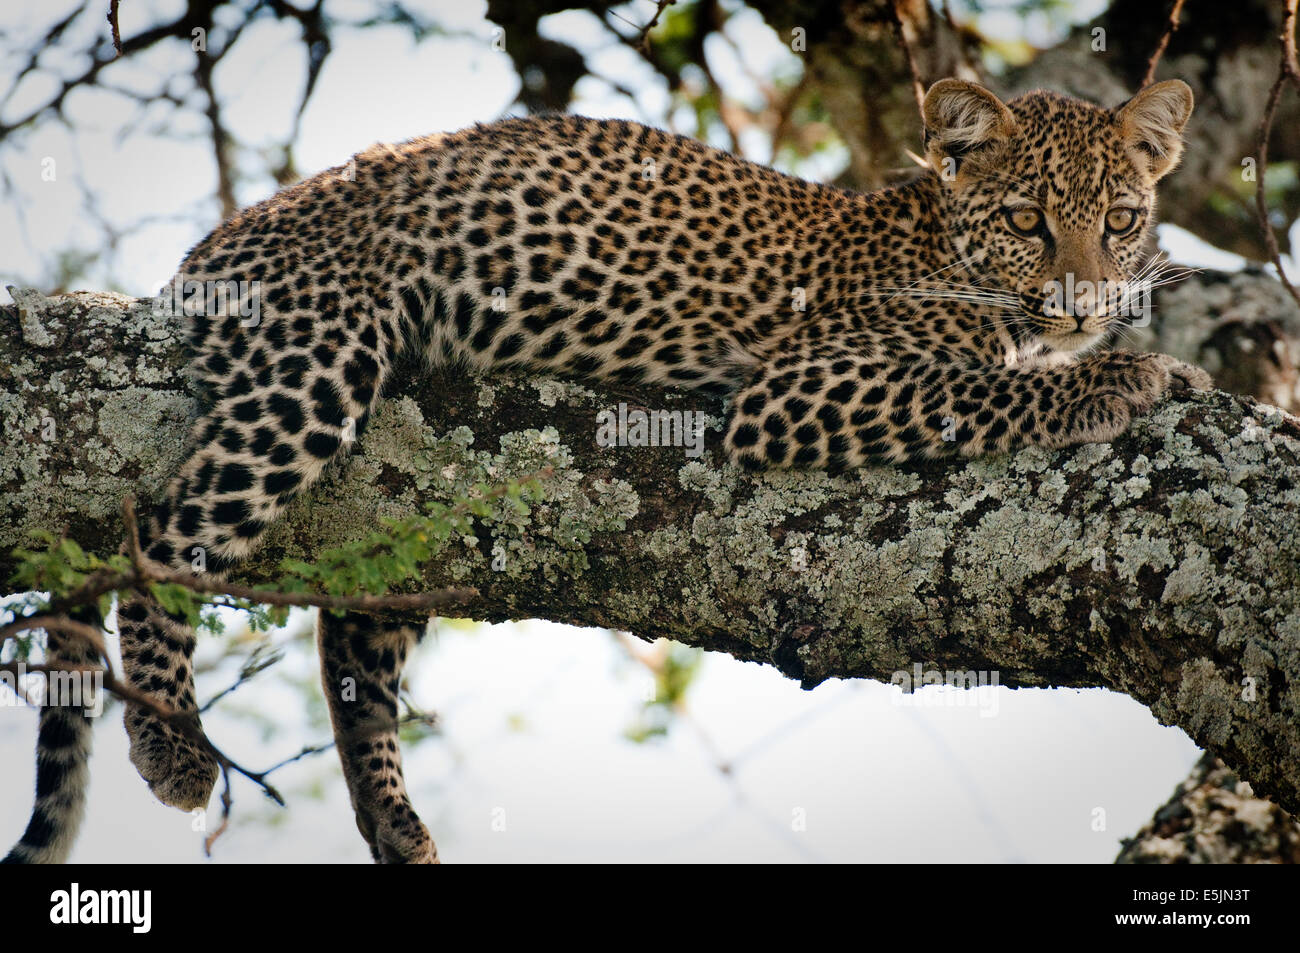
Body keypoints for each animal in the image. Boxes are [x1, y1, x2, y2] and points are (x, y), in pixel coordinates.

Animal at [5, 78, 1213, 864]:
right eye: (1026, 220)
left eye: (1120, 218)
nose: (1082, 304)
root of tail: (207, 250)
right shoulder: (796, 390)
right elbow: (985, 387)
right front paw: (1122, 379)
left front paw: (1139, 358)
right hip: (315, 364)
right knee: (165, 528)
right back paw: (170, 738)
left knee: (350, 640)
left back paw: (392, 820)